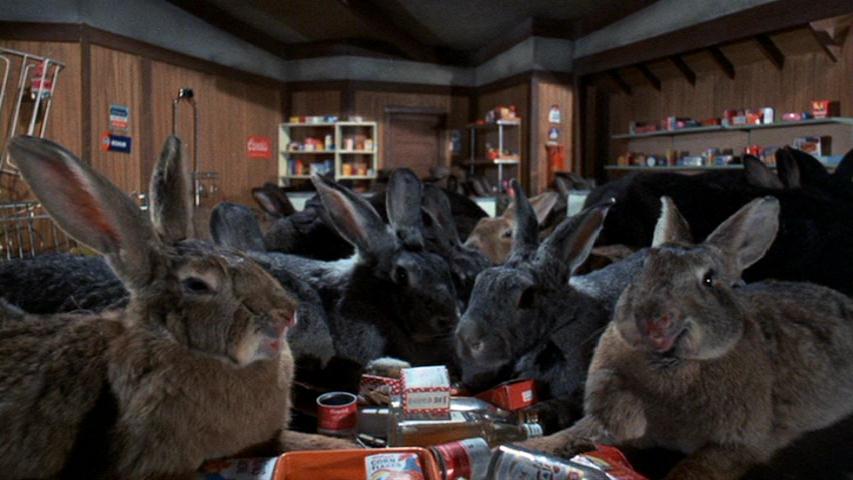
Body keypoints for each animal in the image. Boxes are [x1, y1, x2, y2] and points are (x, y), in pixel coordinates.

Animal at [522, 196, 853, 480]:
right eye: (643, 269)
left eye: (708, 280)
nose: (652, 319)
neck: (669, 364)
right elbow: (573, 434)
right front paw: (530, 448)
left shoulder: (737, 444)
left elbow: (693, 468)